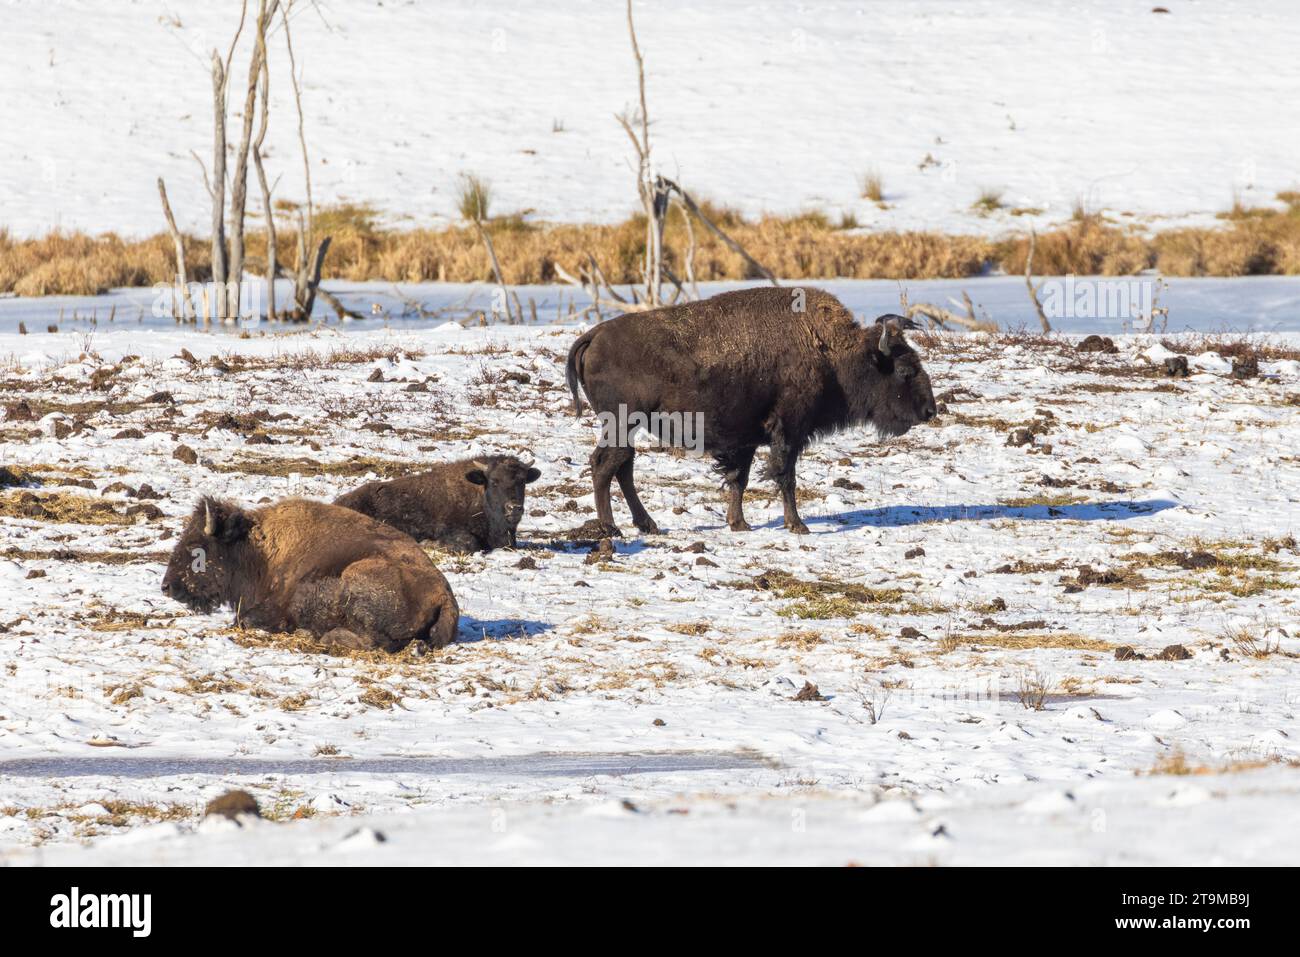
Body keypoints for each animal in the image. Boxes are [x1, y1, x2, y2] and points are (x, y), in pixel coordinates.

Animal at [161, 496, 459, 652]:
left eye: (196, 546)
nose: (166, 587)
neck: (259, 549)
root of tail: (444, 596)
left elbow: (245, 619)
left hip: (356, 576)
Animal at [565, 286, 937, 535]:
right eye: (905, 370)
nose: (930, 410)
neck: (829, 351)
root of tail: (594, 335)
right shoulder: (788, 431)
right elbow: (784, 476)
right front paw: (798, 525)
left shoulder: (744, 441)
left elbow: (738, 480)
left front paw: (739, 523)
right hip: (622, 422)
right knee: (606, 464)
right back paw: (611, 528)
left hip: (628, 426)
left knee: (622, 467)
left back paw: (647, 525)